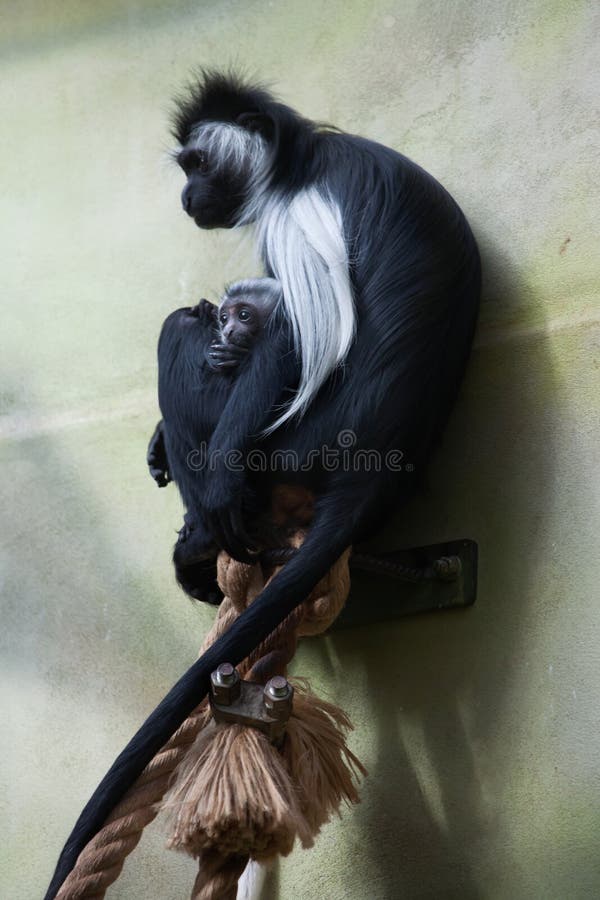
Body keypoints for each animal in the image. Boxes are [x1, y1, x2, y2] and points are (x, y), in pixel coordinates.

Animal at [46, 72, 481, 898]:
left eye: (194, 164)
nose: (188, 198)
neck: (298, 156)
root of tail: (370, 477)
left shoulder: (295, 215)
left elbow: (288, 341)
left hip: (286, 447)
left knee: (184, 331)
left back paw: (199, 540)